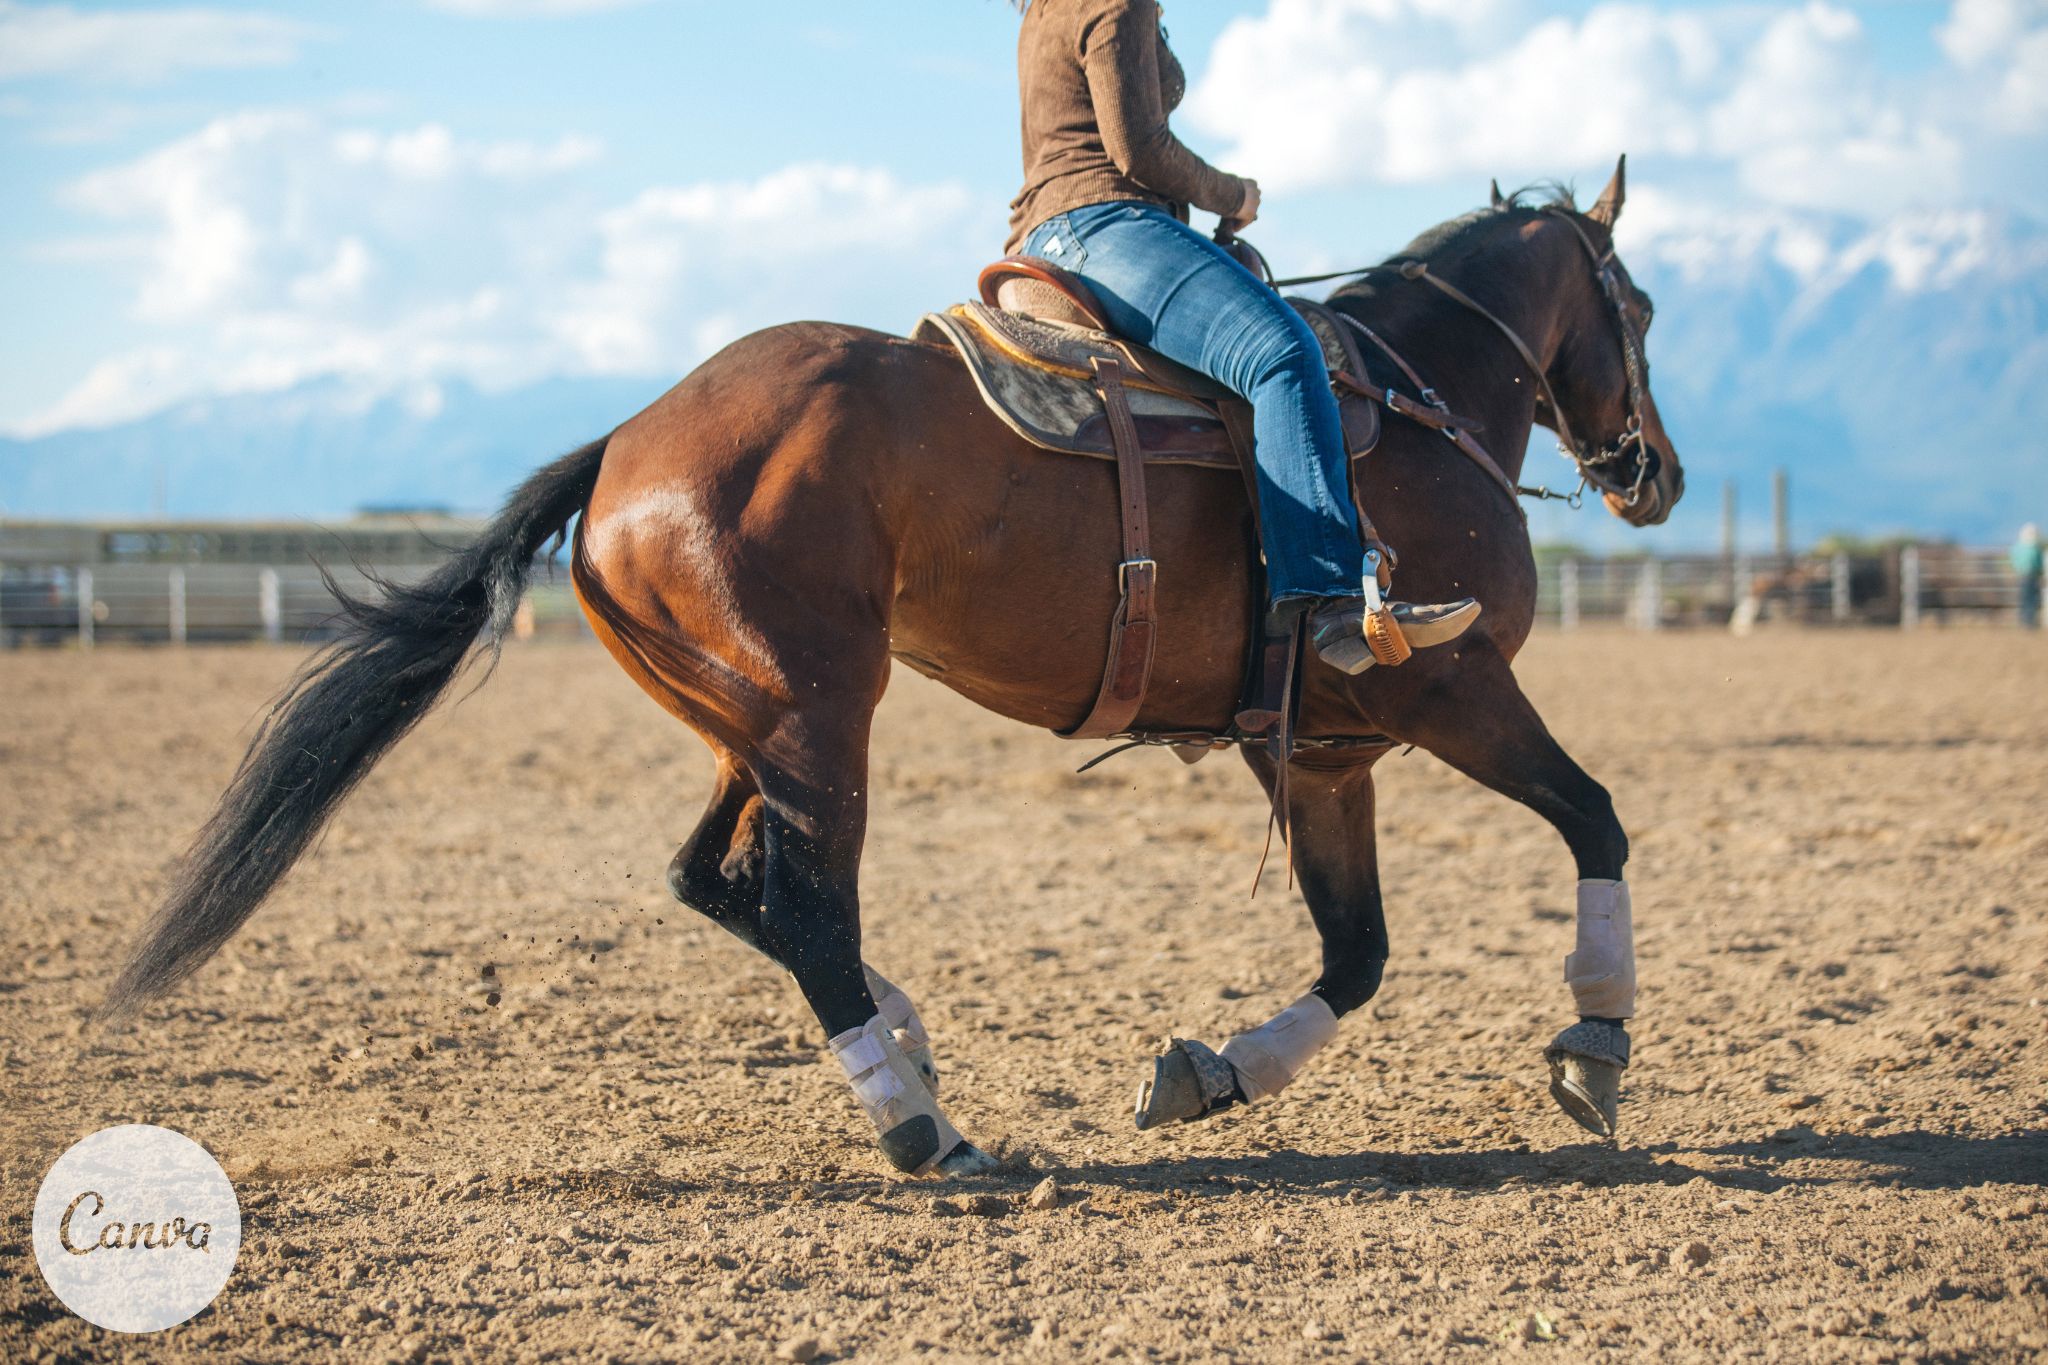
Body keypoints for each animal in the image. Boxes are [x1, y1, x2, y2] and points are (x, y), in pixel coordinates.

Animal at [103, 157, 1684, 1178]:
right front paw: (1594, 1040)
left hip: (748, 721)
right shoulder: (1447, 691)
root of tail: (623, 443)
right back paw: (923, 1124)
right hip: (821, 716)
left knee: (719, 882)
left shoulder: (1320, 750)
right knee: (803, 906)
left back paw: (912, 1052)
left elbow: (1356, 952)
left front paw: (1209, 1074)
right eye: (1646, 310)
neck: (1412, 409)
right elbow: (1596, 818)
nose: (1652, 473)